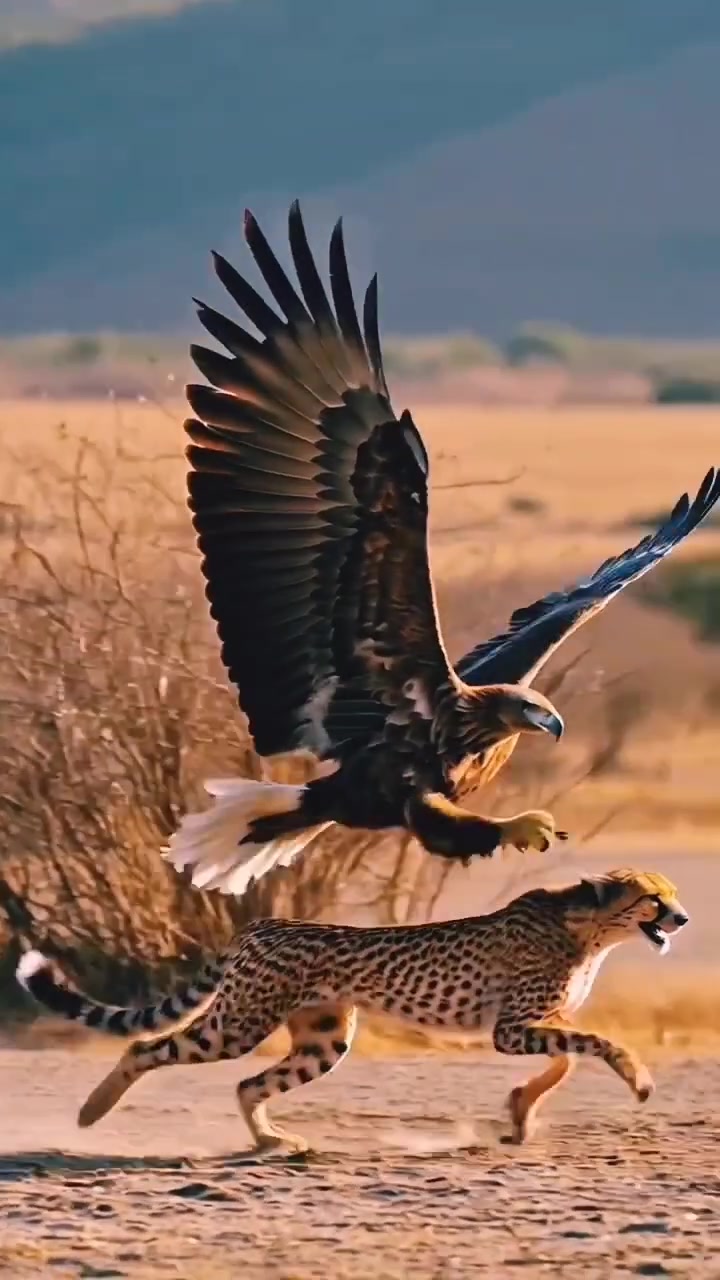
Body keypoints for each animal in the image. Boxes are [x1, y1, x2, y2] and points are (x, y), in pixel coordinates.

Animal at [16, 867, 688, 1152]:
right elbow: (597, 1045)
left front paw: (520, 1114)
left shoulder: (531, 1026)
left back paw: (270, 1141)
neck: (589, 926)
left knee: (249, 1083)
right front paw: (640, 1080)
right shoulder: (511, 1028)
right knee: (145, 1046)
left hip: (322, 1040)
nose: (682, 918)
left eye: (673, 894)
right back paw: (90, 1113)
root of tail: (263, 921)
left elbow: (565, 1061)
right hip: (237, 1024)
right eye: (652, 898)